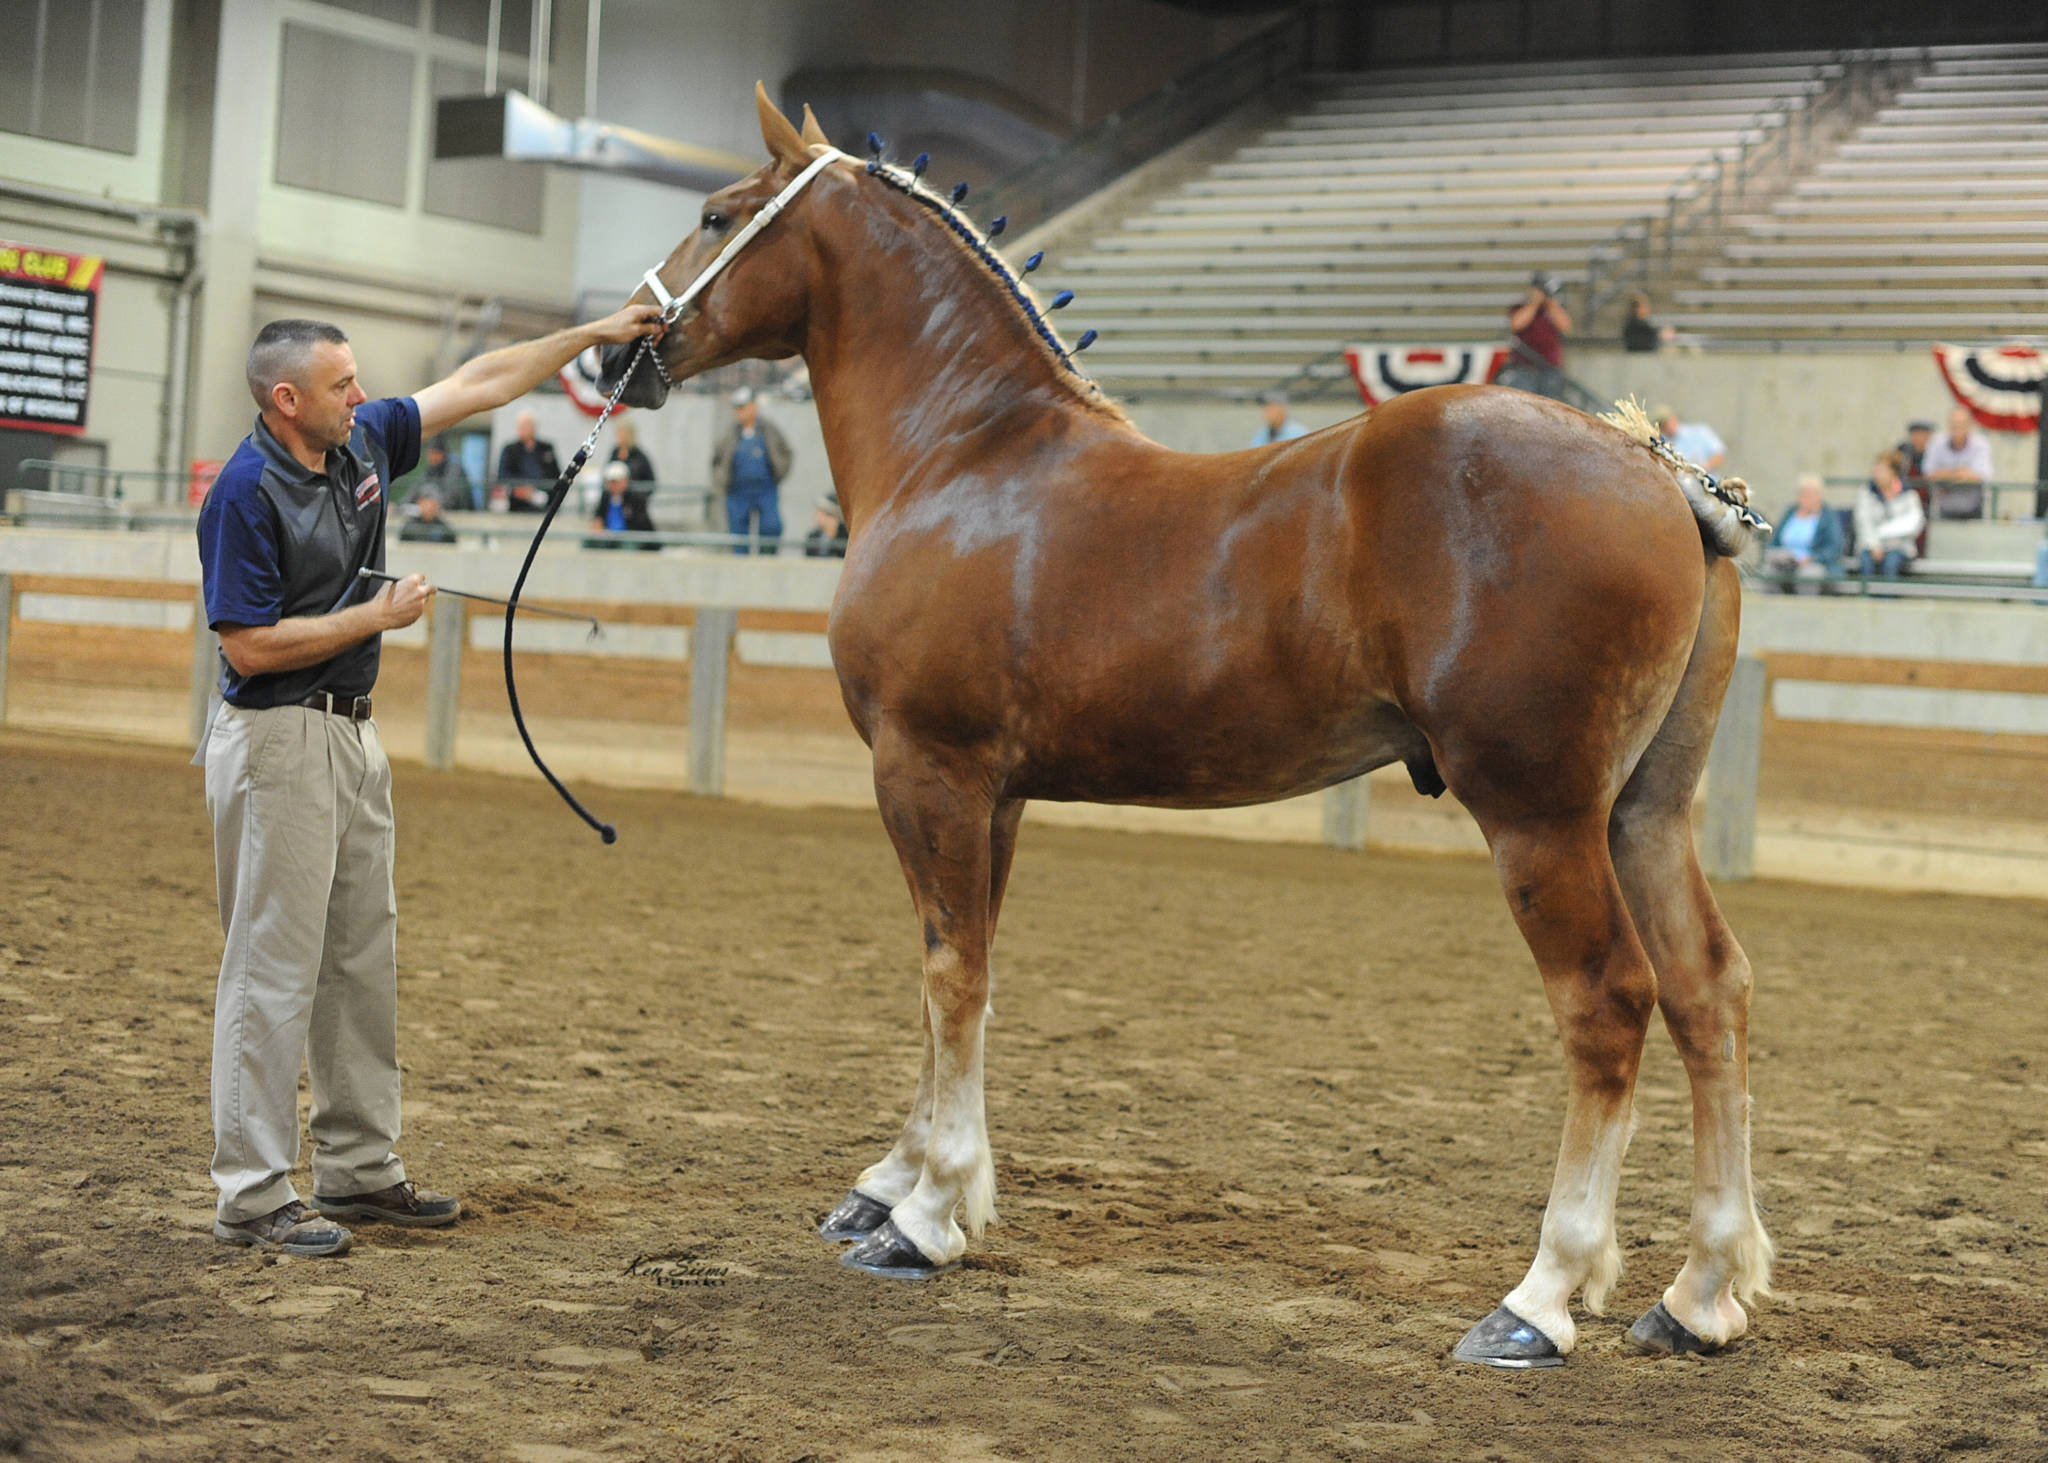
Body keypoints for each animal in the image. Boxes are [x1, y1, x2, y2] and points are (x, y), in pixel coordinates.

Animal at [598, 85, 1774, 1369]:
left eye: (717, 215)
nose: (614, 350)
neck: (963, 455)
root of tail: (1658, 472)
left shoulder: (927, 769)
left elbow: (949, 973)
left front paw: (923, 1215)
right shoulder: (994, 794)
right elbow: (954, 970)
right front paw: (895, 1182)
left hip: (1538, 816)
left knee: (1606, 1004)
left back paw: (1539, 1297)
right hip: (1641, 812)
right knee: (1707, 991)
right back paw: (1698, 1293)